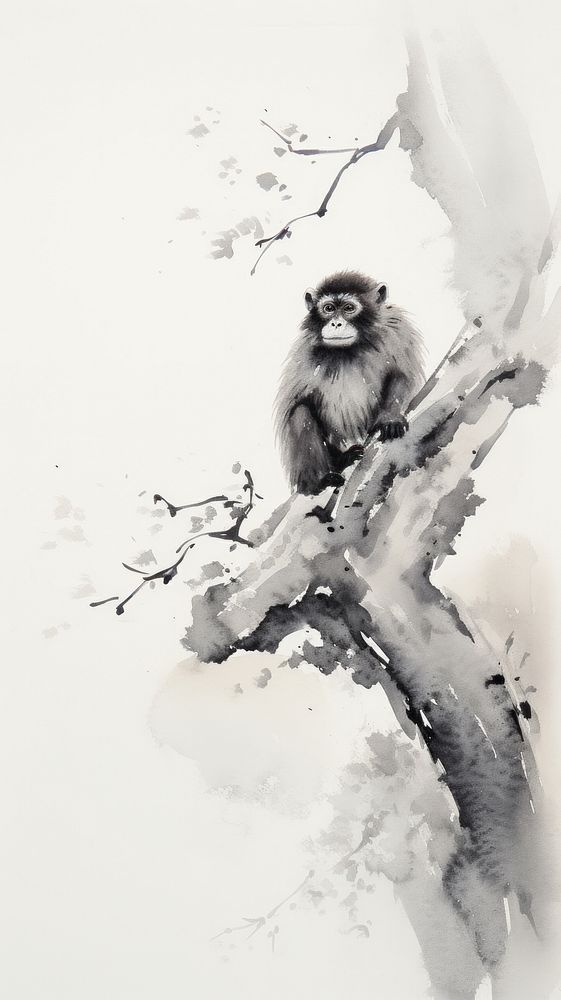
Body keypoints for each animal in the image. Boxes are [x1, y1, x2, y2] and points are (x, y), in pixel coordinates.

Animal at [275, 271, 425, 495]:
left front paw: (390, 417)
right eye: (328, 308)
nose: (336, 324)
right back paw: (321, 478)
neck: (352, 348)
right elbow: (295, 404)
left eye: (348, 308)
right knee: (301, 413)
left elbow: (402, 375)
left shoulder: (396, 328)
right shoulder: (305, 352)